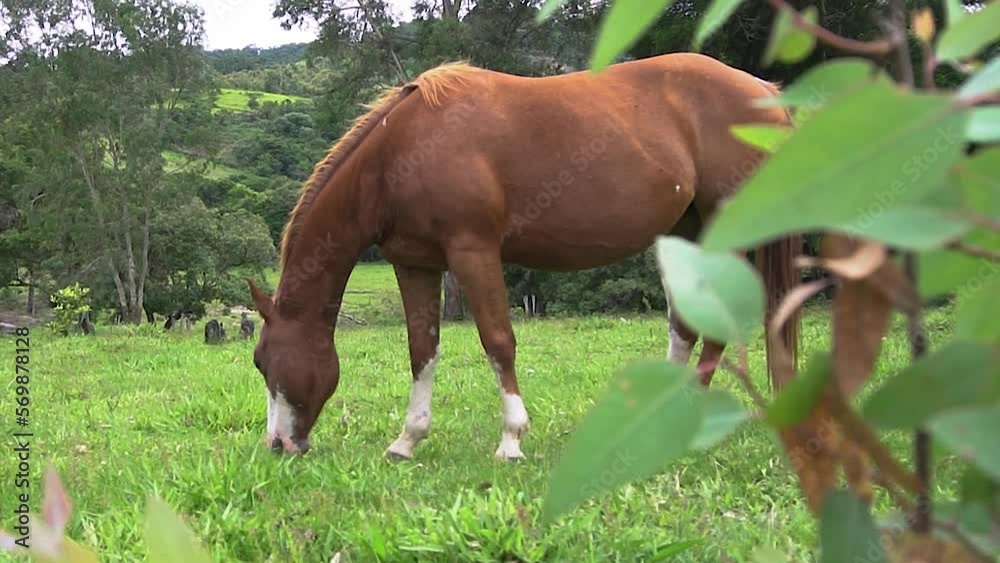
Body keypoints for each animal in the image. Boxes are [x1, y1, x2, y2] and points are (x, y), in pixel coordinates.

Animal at [246, 52, 800, 460]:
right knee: (684, 324)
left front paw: (511, 438)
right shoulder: (416, 263)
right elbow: (421, 349)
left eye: (263, 361)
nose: (279, 444)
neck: (403, 151)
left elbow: (498, 341)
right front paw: (407, 440)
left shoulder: (474, 250)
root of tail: (763, 88)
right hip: (685, 232)